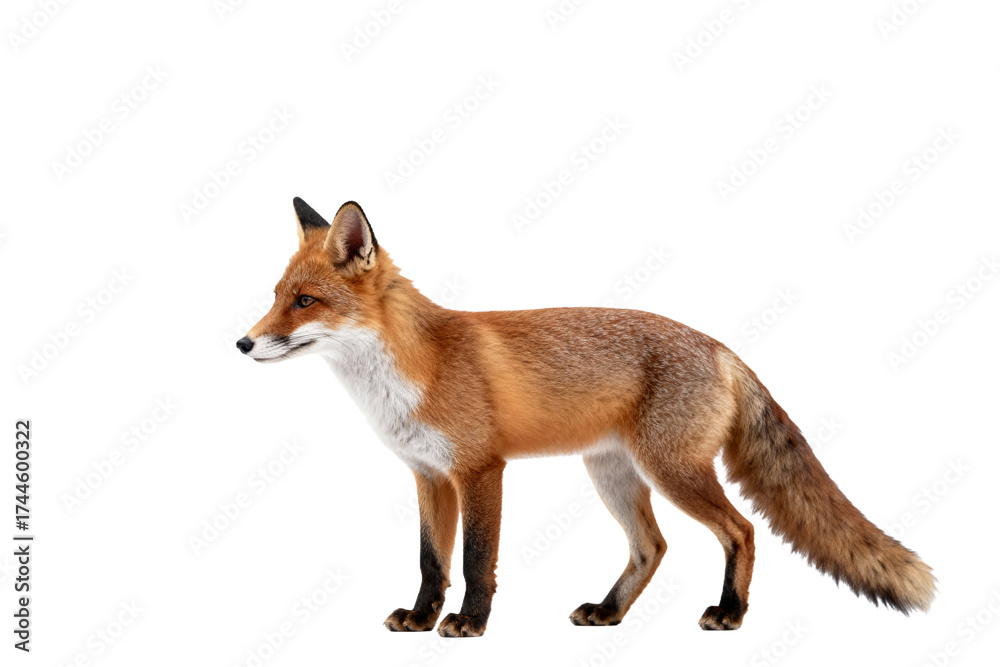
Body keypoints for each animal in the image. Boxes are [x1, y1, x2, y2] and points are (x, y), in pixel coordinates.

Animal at [236, 197, 936, 637]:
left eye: (305, 301)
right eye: (275, 297)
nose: (242, 344)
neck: (414, 368)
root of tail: (720, 346)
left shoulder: (480, 469)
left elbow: (477, 560)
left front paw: (469, 624)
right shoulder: (428, 475)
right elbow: (432, 562)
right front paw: (420, 619)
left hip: (673, 471)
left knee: (740, 531)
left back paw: (730, 613)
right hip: (613, 476)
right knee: (652, 547)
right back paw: (608, 612)